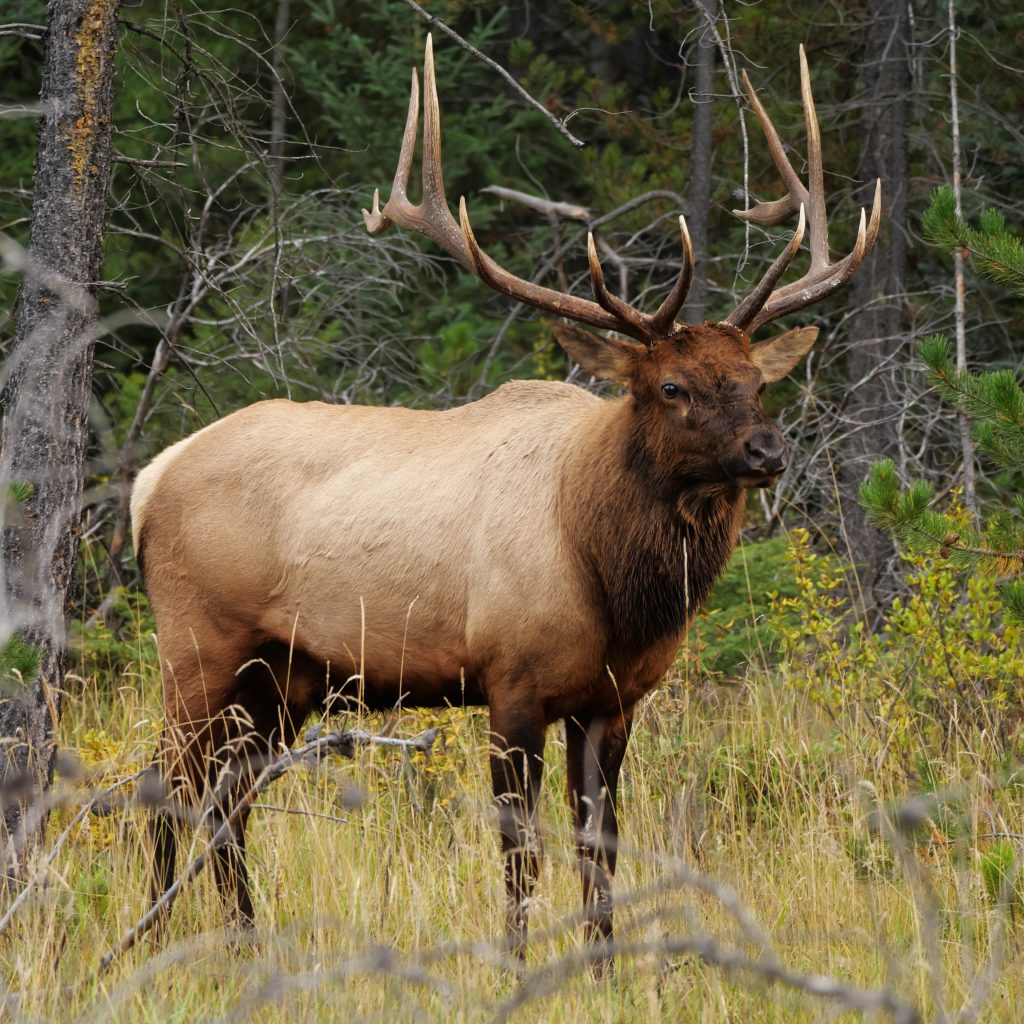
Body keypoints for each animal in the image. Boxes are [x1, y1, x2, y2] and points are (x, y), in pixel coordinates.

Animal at [130, 36, 881, 967]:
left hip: (285, 675)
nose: (766, 450)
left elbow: (600, 844)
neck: (610, 577)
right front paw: (518, 963)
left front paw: (604, 965)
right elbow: (520, 848)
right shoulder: (511, 680)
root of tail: (150, 479)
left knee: (229, 798)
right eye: (670, 386)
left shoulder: (613, 700)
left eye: (754, 380)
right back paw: (153, 942)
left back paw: (243, 942)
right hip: (197, 644)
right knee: (165, 784)